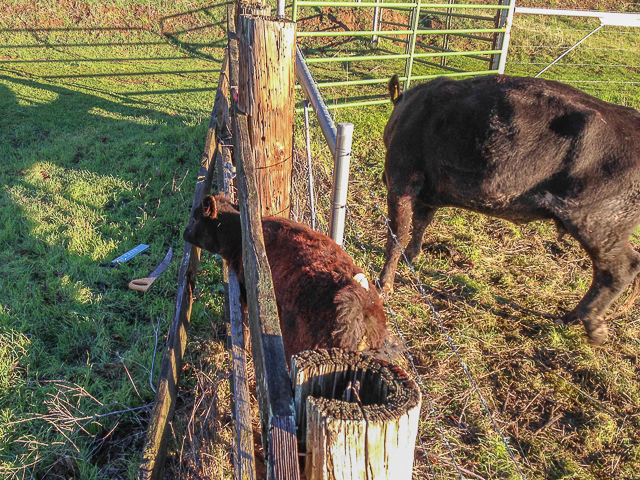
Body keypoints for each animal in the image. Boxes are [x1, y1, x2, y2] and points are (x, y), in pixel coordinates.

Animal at [380, 74, 640, 346]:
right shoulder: (428, 193)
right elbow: (420, 224)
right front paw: (411, 258)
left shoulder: (401, 182)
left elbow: (397, 234)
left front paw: (384, 284)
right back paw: (568, 318)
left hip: (597, 224)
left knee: (621, 268)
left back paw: (591, 326)